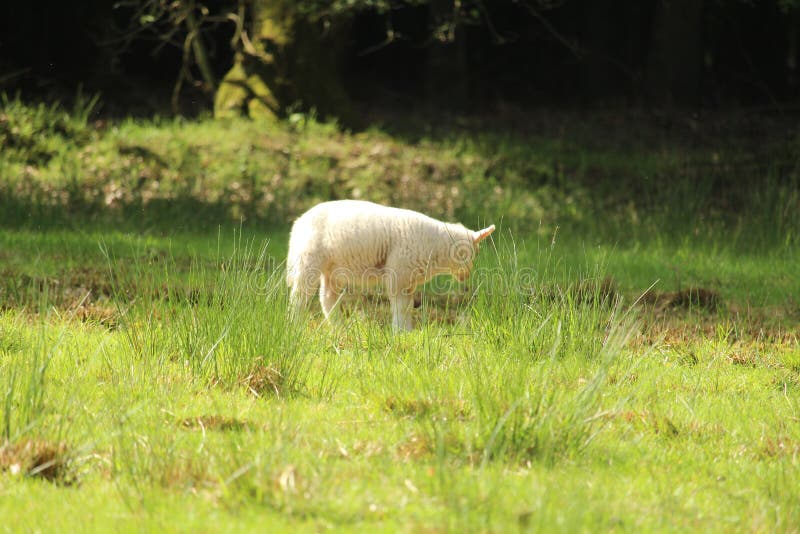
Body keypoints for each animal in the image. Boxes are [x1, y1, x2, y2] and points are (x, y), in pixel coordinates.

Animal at [286, 199, 495, 330]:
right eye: (473, 253)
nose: (467, 276)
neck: (436, 247)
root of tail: (298, 223)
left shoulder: (409, 280)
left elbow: (408, 306)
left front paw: (408, 332)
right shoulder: (399, 275)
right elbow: (400, 307)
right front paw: (399, 332)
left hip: (332, 269)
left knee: (327, 299)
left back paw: (339, 329)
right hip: (308, 260)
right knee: (299, 297)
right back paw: (295, 326)